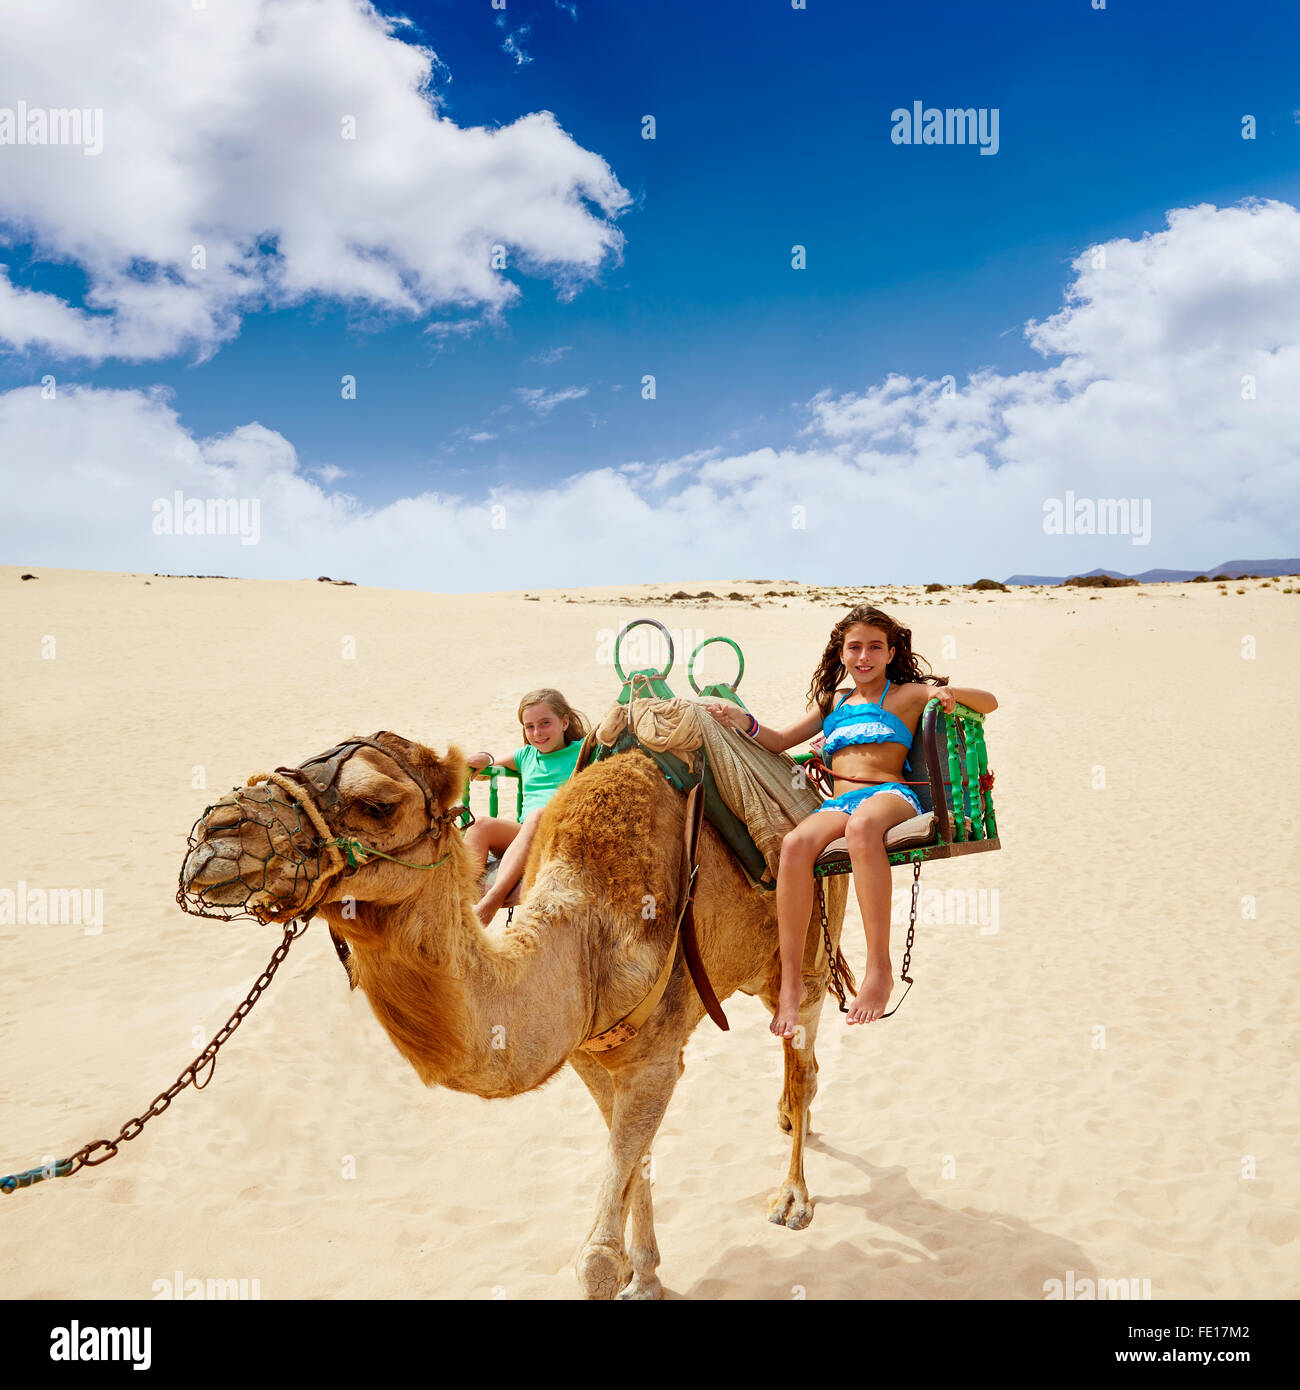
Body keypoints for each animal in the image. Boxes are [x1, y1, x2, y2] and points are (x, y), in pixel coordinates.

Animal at [180, 730, 848, 1299]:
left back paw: (793, 1197)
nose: (218, 830)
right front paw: (647, 1276)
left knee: (803, 1056)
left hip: (812, 943)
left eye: (377, 804)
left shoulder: (656, 1059)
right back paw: (788, 1119)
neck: (585, 933)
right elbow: (636, 1162)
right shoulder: (589, 1054)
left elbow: (595, 1255)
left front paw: (627, 1268)